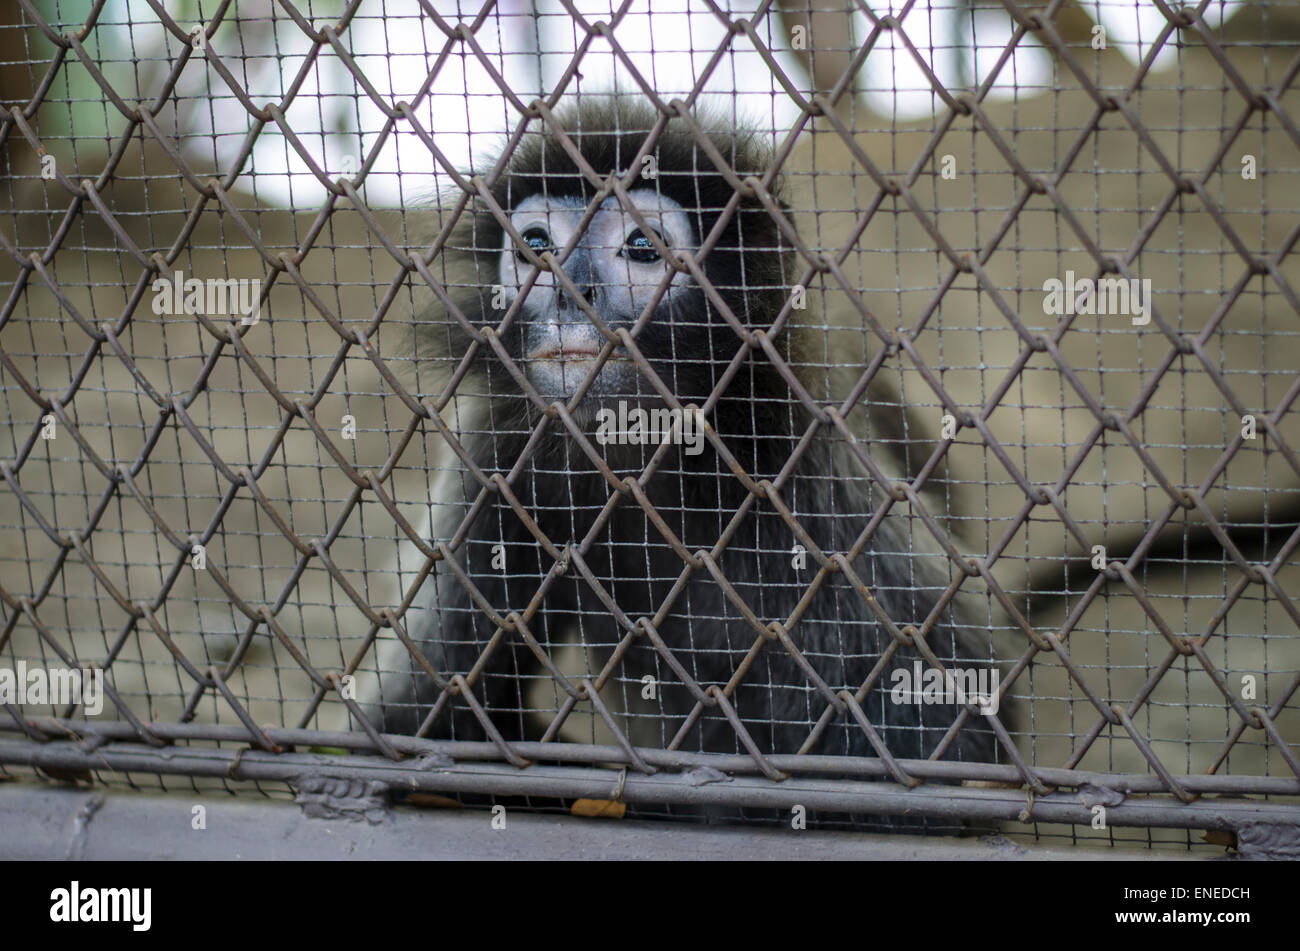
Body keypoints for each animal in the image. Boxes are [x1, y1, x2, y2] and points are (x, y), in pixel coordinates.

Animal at [350, 99, 1010, 827]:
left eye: (642, 248)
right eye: (537, 246)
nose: (569, 294)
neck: (645, 455)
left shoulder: (812, 461)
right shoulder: (496, 458)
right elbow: (427, 726)